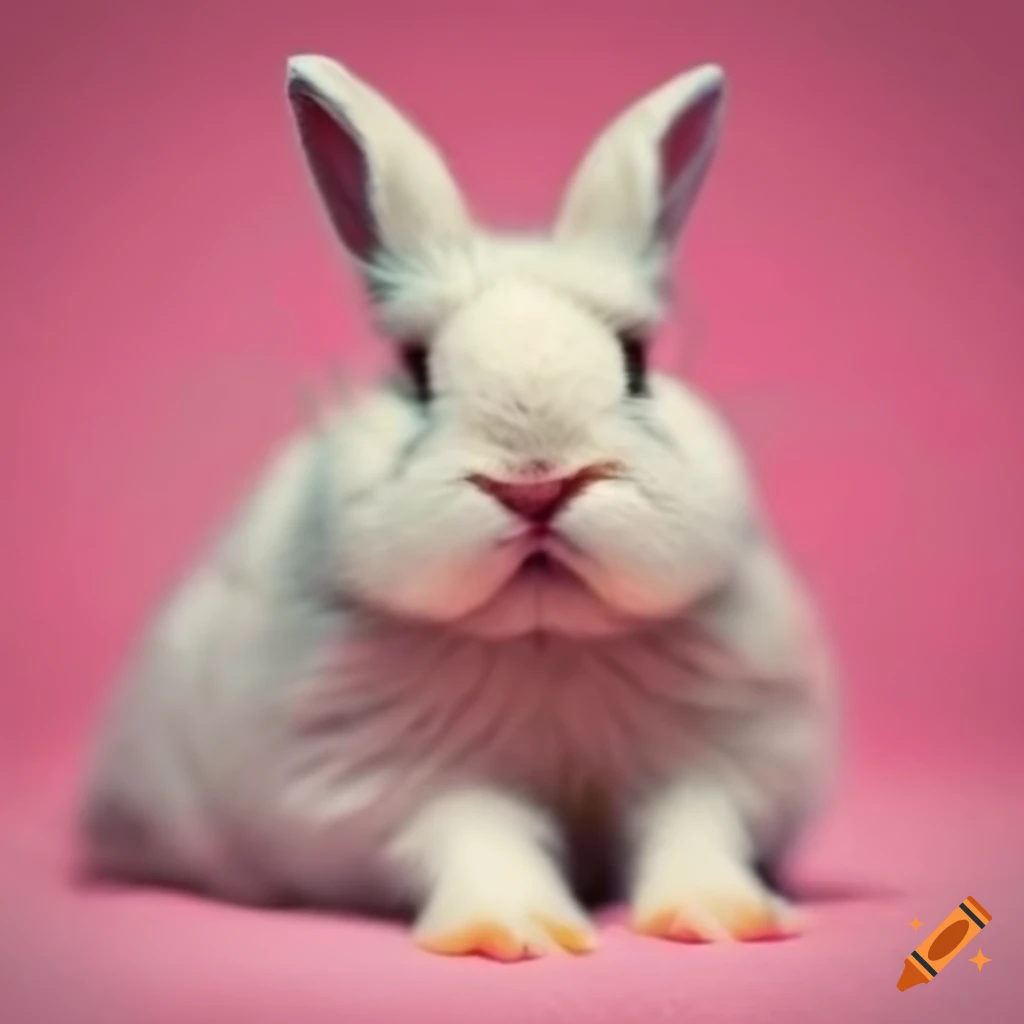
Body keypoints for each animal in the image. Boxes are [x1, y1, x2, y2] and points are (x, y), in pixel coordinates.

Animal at [78, 54, 837, 960]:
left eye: (637, 362)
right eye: (415, 371)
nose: (537, 483)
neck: (544, 641)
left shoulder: (712, 761)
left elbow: (694, 829)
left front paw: (724, 918)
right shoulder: (393, 781)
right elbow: (477, 837)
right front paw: (516, 932)